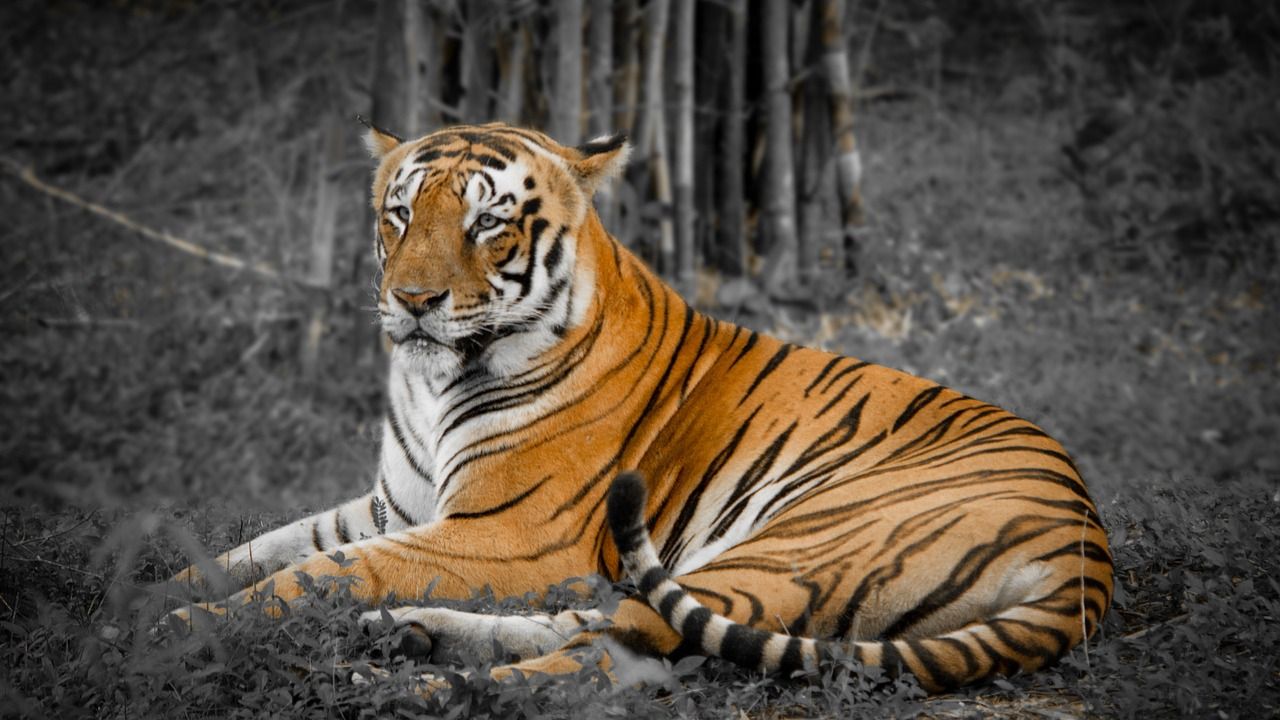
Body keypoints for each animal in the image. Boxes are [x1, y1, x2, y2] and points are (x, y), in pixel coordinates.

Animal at [169, 122, 1113, 694]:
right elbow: (262, 547)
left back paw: (443, 686)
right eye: (399, 214)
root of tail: (1088, 552)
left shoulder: (508, 533)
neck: (432, 383)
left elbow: (323, 571)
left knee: (622, 654)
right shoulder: (391, 505)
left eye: (487, 225)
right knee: (613, 623)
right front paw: (165, 591)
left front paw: (185, 626)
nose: (413, 301)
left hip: (795, 545)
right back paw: (411, 637)